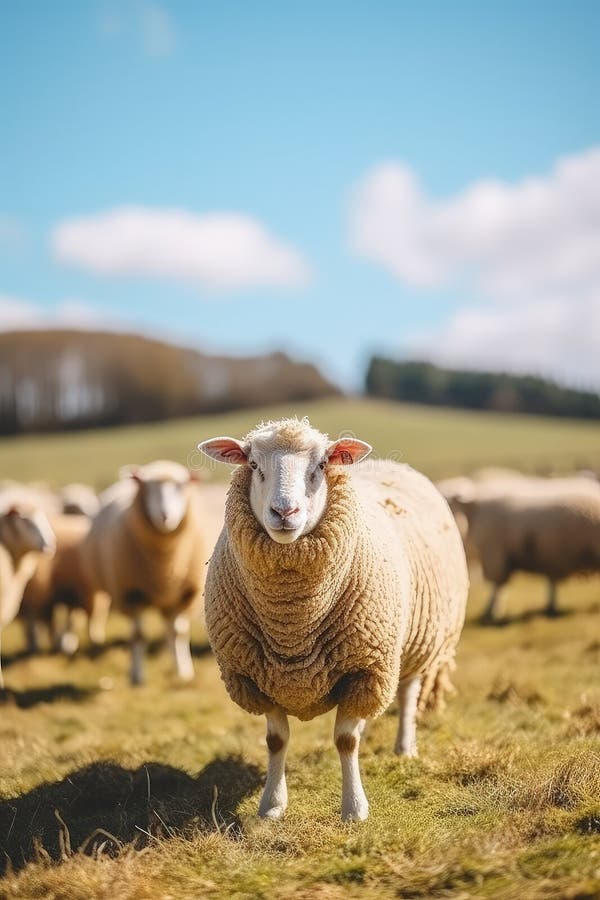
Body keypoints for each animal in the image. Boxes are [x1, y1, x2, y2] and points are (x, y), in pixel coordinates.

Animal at [80, 460, 208, 685]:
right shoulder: (132, 595)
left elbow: (179, 634)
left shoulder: (184, 595)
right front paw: (137, 677)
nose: (165, 516)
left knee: (170, 630)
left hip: (169, 599)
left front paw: (184, 672)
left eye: (182, 485)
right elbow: (138, 636)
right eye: (147, 487)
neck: (165, 564)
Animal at [199, 417, 469, 821]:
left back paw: (405, 747)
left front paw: (354, 808)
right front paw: (272, 805)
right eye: (253, 465)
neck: (292, 623)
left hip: (414, 644)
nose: (285, 512)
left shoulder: (366, 669)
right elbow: (275, 740)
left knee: (408, 693)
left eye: (322, 465)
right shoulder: (258, 675)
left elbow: (346, 740)